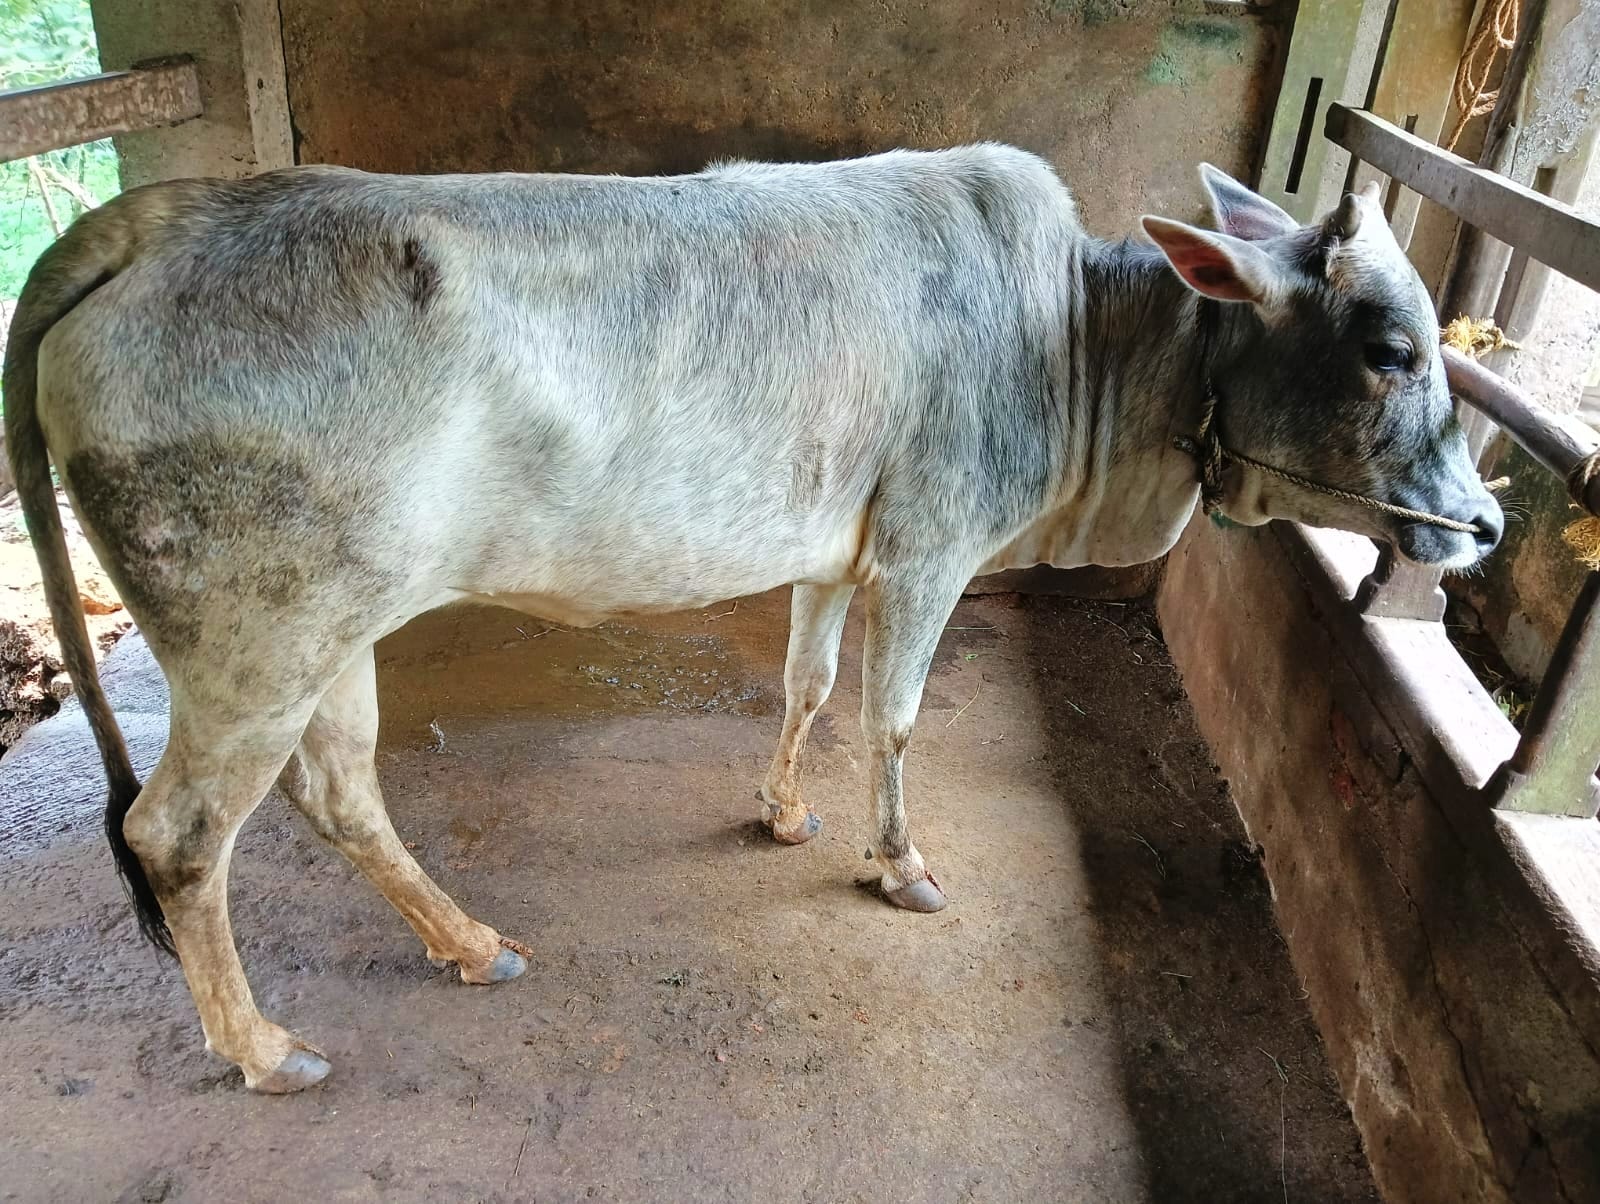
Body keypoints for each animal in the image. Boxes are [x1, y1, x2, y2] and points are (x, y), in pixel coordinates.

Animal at [4, 145, 1501, 1093]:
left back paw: (469, 944)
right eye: (1390, 349)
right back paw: (262, 1050)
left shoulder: (834, 555)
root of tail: (155, 218)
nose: (1485, 527)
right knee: (178, 835)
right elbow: (894, 718)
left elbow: (808, 689)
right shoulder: (928, 550)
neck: (1080, 341)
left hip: (332, 637)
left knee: (339, 792)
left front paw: (782, 811)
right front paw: (901, 866)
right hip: (256, 641)